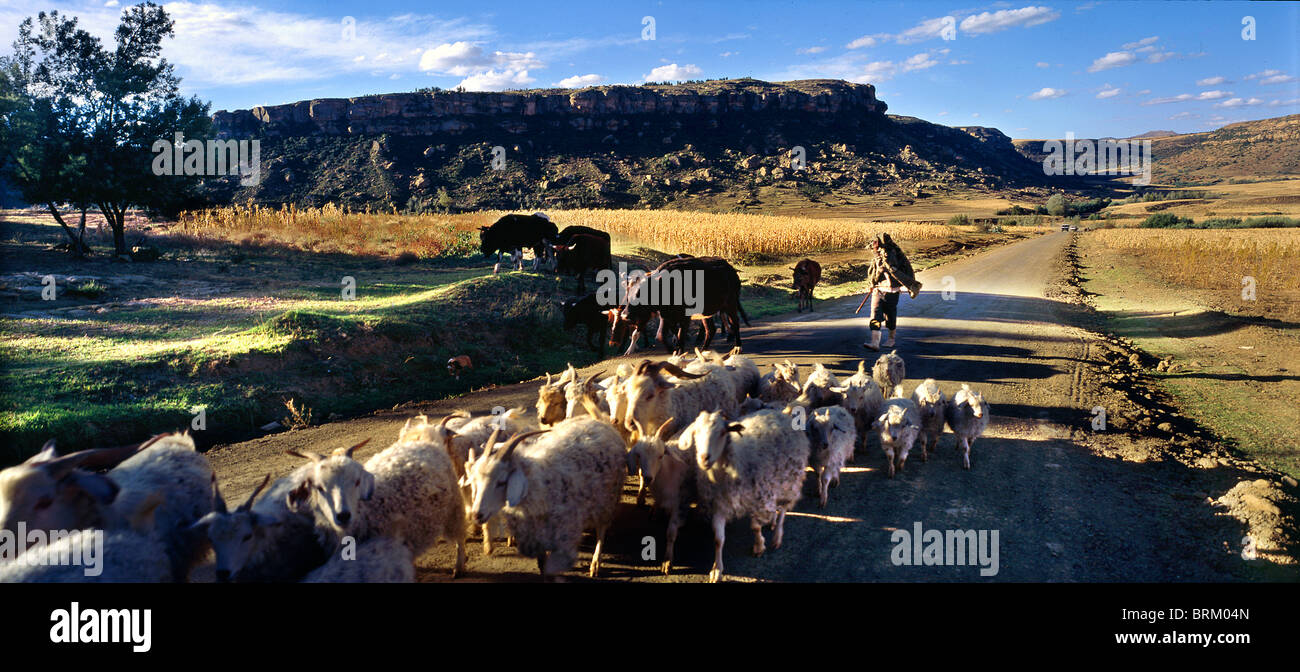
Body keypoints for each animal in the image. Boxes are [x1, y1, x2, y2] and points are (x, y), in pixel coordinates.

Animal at [290, 430, 467, 578]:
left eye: (357, 481)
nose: (343, 515)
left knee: (459, 536)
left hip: (454, 505)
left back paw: (459, 567)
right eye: (319, 487)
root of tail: (428, 442)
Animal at [466, 416, 626, 581]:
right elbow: (542, 562)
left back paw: (595, 563)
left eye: (502, 481)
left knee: (601, 530)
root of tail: (600, 422)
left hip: (607, 500)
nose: (476, 515)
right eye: (475, 480)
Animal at [680, 408, 809, 583]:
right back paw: (772, 521)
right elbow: (718, 540)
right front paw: (716, 570)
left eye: (722, 432)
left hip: (790, 480)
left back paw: (777, 536)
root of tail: (779, 412)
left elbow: (755, 527)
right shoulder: (719, 505)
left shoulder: (757, 498)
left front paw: (759, 547)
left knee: (783, 508)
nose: (704, 458)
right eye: (696, 432)